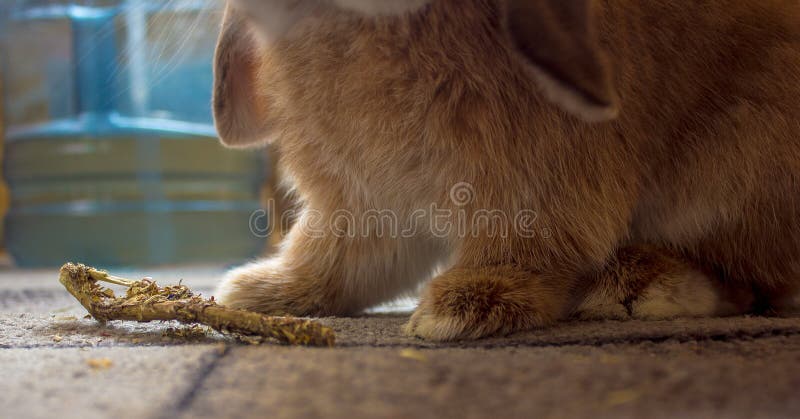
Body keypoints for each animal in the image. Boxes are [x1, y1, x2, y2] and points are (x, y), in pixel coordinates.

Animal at [212, 0, 800, 341]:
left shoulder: (535, 167)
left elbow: (533, 234)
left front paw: (460, 308)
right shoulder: (366, 202)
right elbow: (349, 262)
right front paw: (257, 293)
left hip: (737, 168)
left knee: (755, 285)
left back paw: (640, 287)